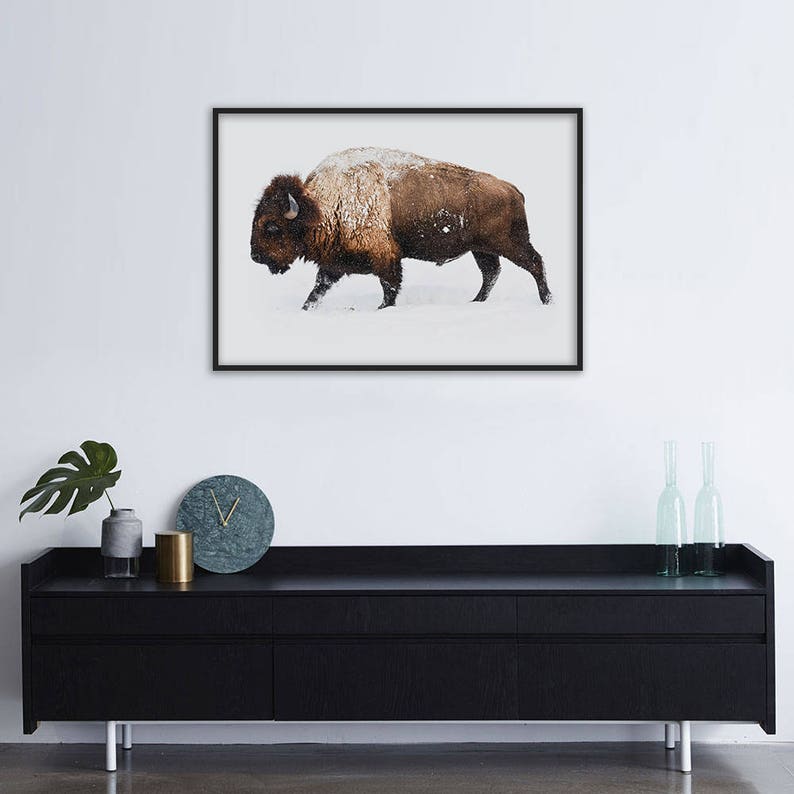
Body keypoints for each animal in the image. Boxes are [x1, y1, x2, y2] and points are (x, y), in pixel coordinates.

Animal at [250, 147, 551, 310]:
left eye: (272, 226)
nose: (255, 256)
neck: (322, 205)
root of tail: (512, 189)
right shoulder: (334, 263)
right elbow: (317, 290)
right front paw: (305, 309)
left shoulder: (386, 258)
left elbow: (390, 288)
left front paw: (382, 309)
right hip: (482, 249)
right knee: (491, 273)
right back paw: (475, 302)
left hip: (510, 243)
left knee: (534, 263)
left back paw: (546, 300)